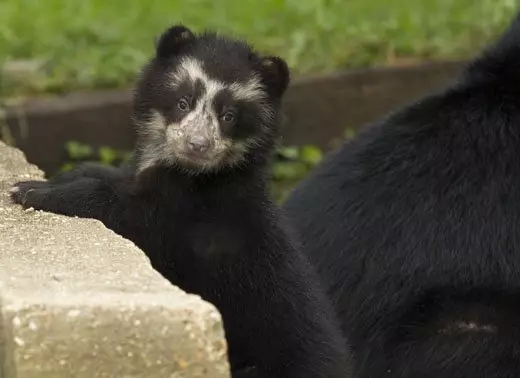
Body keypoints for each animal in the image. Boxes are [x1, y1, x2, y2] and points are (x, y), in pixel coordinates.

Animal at [11, 26, 354, 378]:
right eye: (183, 101)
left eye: (228, 116)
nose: (197, 144)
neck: (194, 175)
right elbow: (108, 176)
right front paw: (52, 179)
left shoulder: (185, 216)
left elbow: (129, 212)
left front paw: (31, 191)